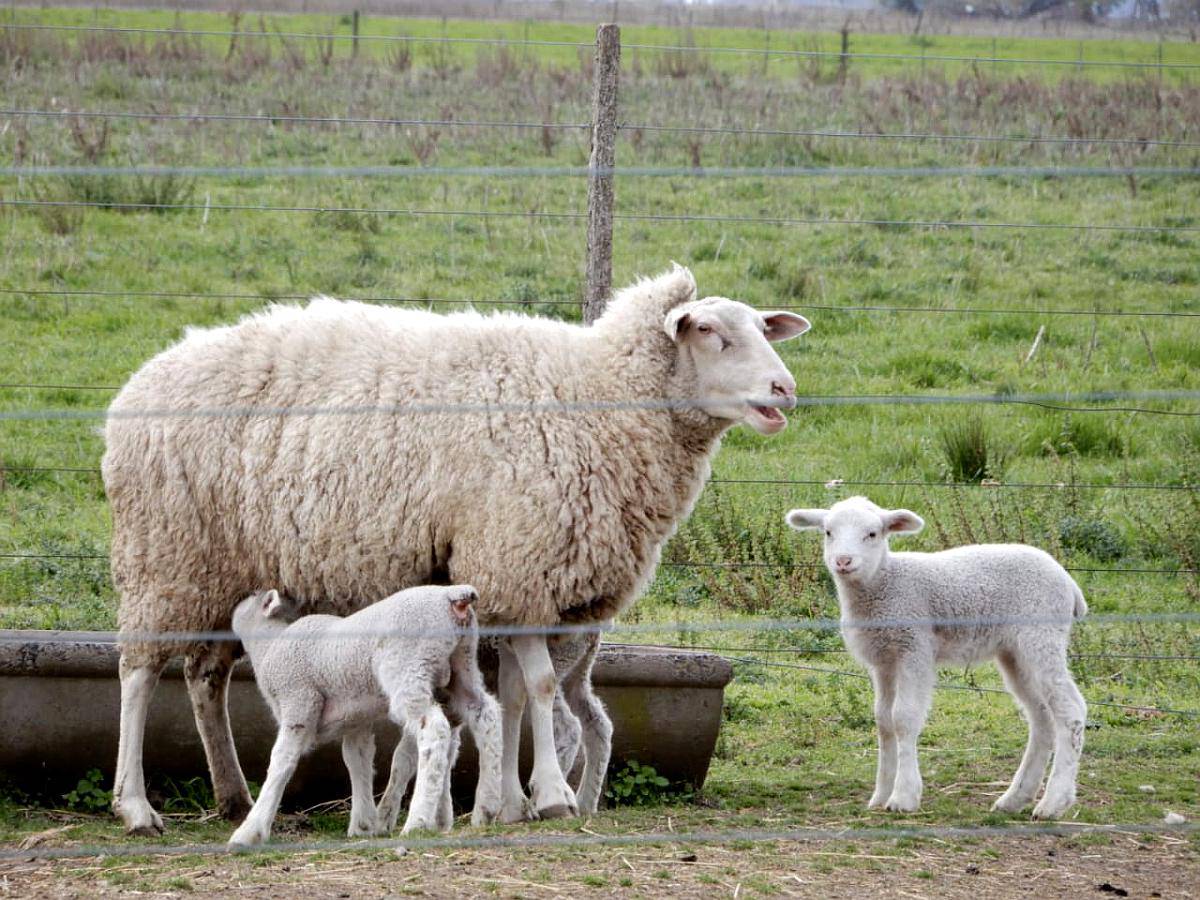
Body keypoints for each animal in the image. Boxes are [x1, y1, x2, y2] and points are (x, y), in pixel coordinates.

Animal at [227, 584, 501, 847]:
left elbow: (281, 761)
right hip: (462, 665)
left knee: (433, 728)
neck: (268, 647)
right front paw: (362, 824)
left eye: (252, 594)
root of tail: (453, 595)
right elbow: (357, 760)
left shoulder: (299, 701)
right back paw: (486, 809)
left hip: (408, 667)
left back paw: (418, 821)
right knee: (486, 714)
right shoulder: (355, 720)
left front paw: (250, 831)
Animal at [785, 496, 1087, 820]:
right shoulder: (883, 660)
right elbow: (883, 719)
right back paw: (1015, 798)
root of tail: (1069, 582)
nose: (843, 561)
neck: (885, 582)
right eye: (828, 532)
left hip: (1041, 635)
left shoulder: (914, 646)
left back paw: (1054, 802)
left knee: (1070, 710)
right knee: (1041, 716)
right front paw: (880, 794)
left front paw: (903, 796)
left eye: (872, 534)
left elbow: (903, 717)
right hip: (1014, 651)